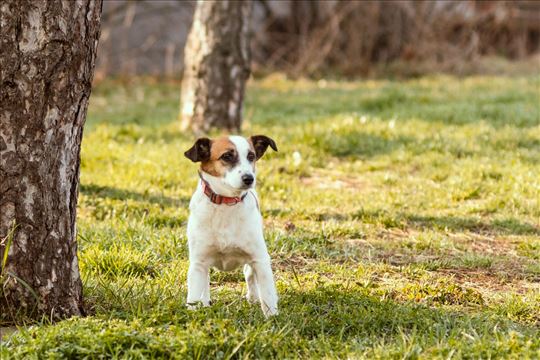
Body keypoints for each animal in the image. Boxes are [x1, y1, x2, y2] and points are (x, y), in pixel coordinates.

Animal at [185, 135, 278, 318]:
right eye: (227, 156)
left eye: (251, 156)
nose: (249, 178)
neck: (225, 203)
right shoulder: (198, 263)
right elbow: (194, 296)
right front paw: (193, 313)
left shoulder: (260, 260)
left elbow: (268, 295)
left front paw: (272, 317)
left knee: (250, 277)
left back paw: (252, 298)